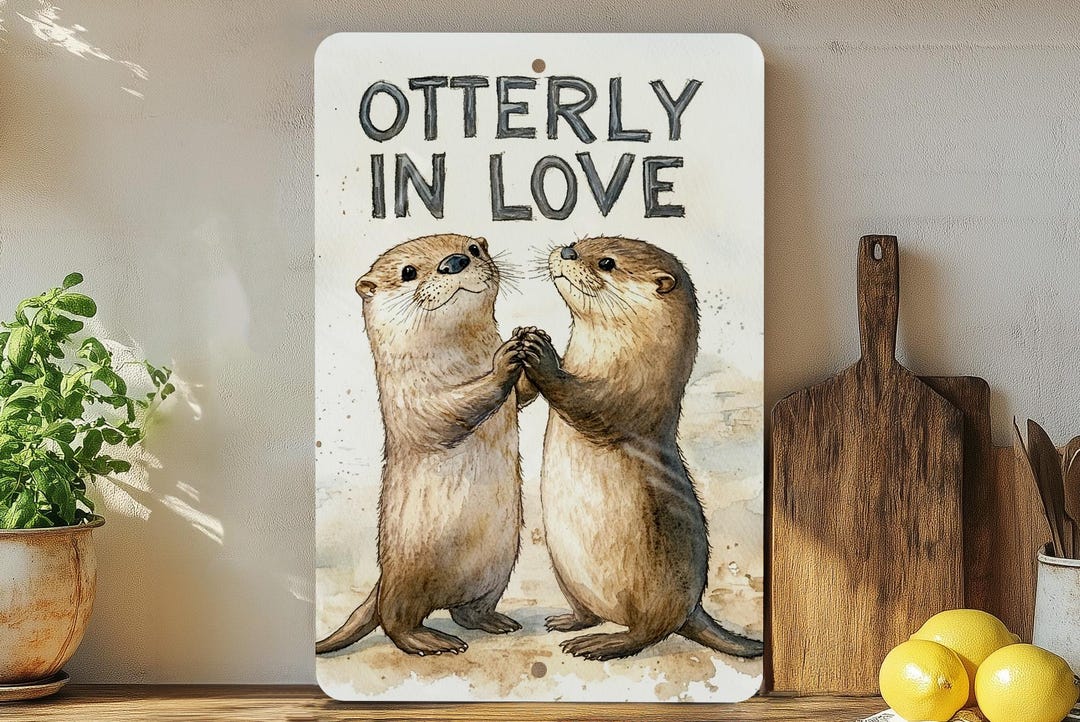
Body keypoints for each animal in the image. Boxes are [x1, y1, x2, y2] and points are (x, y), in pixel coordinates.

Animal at [316, 233, 536, 656]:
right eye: (408, 272)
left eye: (473, 249)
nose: (454, 262)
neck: (461, 362)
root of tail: (382, 577)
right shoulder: (410, 401)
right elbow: (448, 411)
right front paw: (503, 362)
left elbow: (522, 396)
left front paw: (533, 341)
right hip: (409, 572)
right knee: (394, 618)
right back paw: (431, 641)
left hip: (498, 566)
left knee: (467, 610)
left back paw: (494, 621)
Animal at [517, 236, 764, 662]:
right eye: (580, 242)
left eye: (606, 262)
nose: (566, 251)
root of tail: (692, 607)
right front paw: (529, 338)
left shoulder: (629, 399)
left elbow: (585, 404)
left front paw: (542, 357)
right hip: (565, 571)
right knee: (591, 612)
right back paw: (570, 622)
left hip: (654, 585)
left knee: (648, 631)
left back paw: (602, 643)